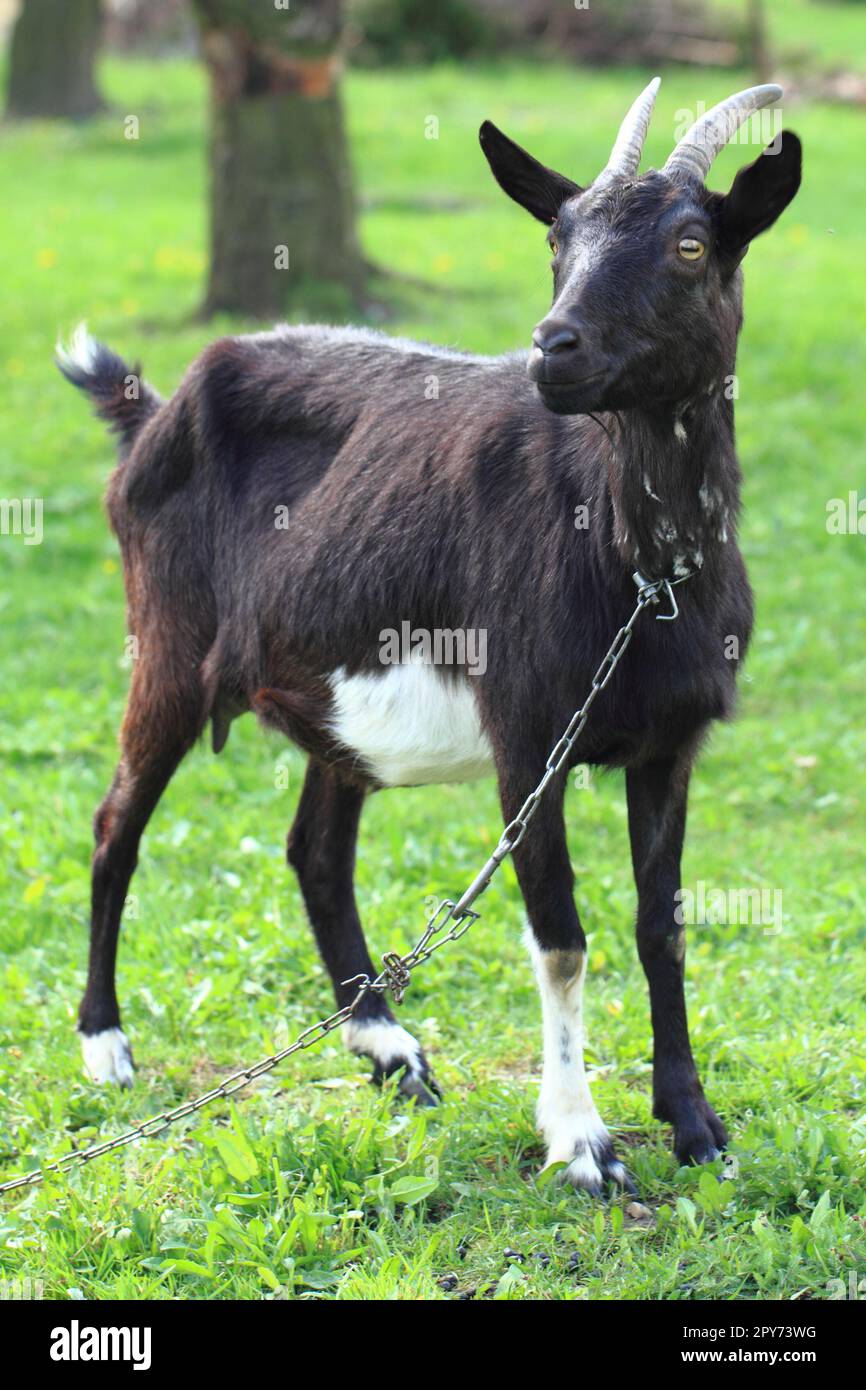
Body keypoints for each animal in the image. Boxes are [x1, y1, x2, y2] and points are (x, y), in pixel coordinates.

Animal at [58, 79, 801, 1192]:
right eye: (557, 236)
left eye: (688, 243)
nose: (553, 347)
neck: (639, 568)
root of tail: (149, 410)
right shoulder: (528, 739)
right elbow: (561, 935)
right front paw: (582, 1143)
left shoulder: (672, 744)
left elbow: (658, 924)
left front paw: (692, 1121)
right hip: (167, 647)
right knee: (117, 823)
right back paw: (106, 1045)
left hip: (328, 694)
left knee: (314, 850)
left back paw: (388, 1045)